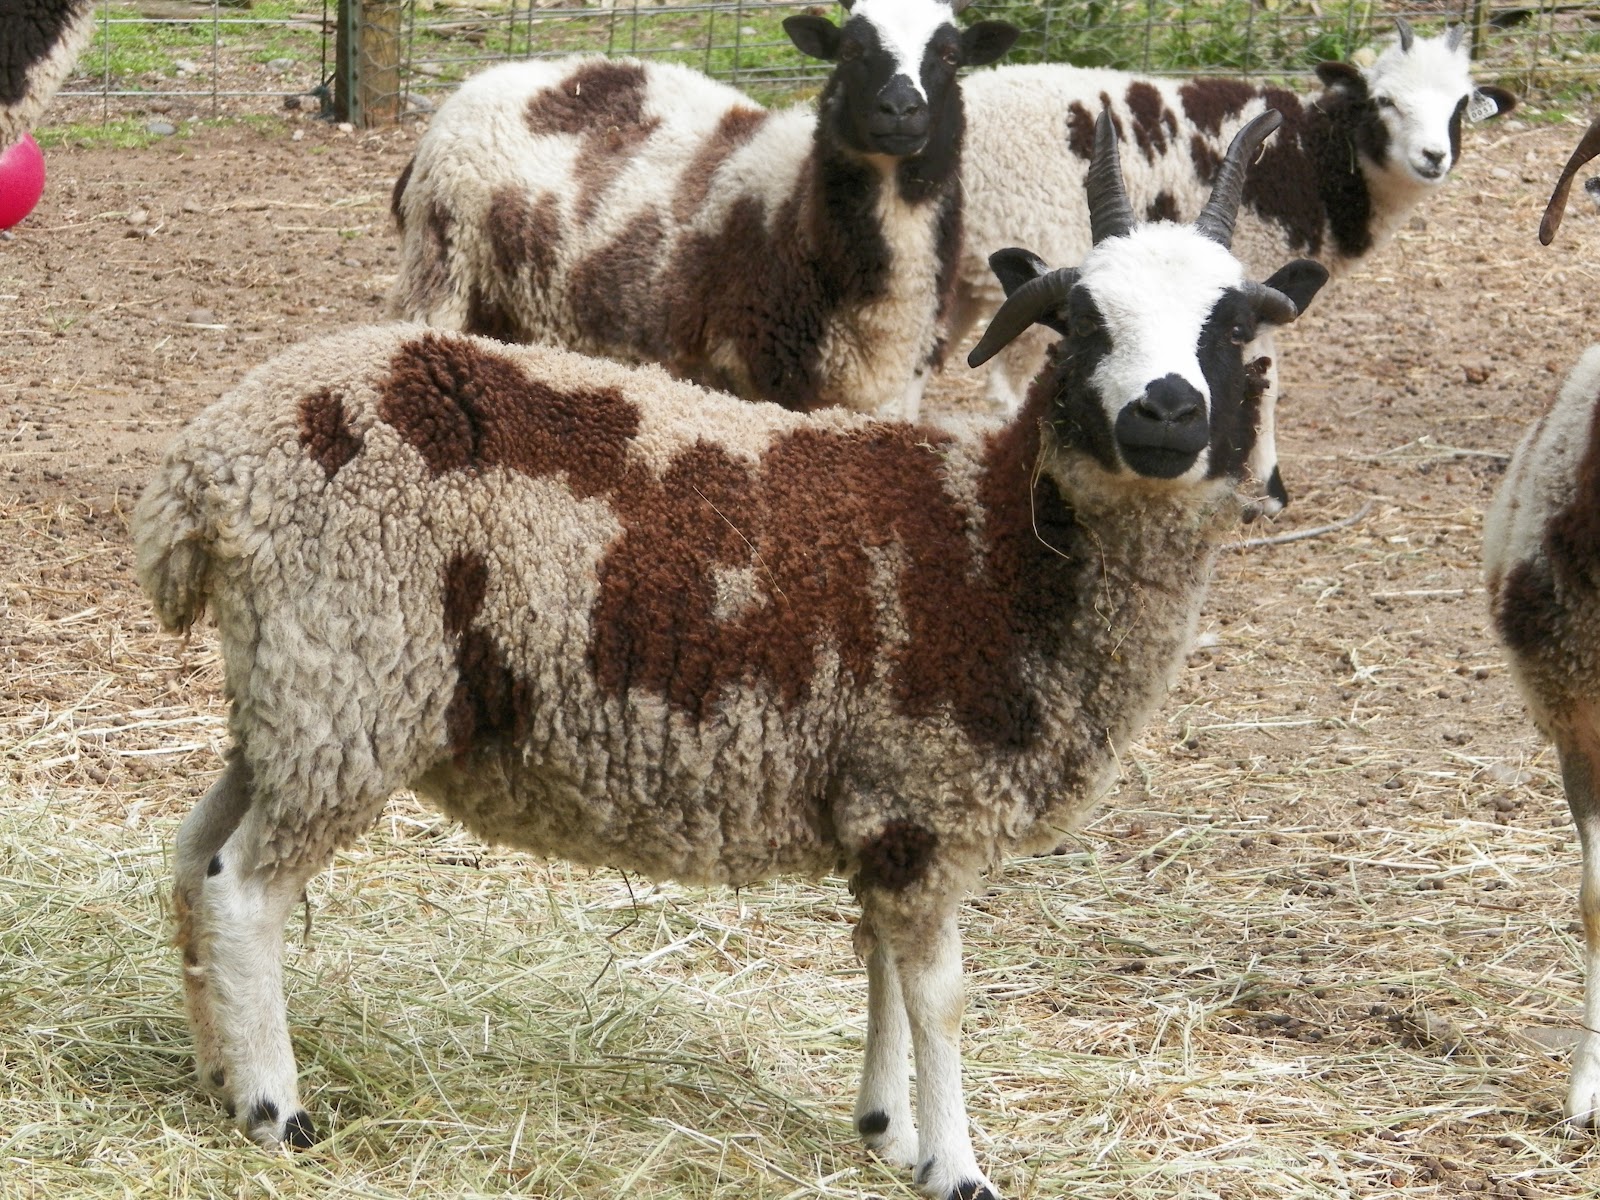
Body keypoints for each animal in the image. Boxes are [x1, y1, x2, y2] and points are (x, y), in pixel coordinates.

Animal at [134, 107, 1325, 1199]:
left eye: (1234, 331)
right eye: (1081, 321)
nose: (1164, 414)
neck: (991, 539)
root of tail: (207, 470)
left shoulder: (885, 809)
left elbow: (881, 968)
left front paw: (884, 1129)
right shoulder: (923, 799)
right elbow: (938, 997)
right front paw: (955, 1166)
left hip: (295, 687)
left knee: (195, 854)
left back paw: (213, 1072)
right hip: (353, 678)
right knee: (245, 887)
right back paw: (276, 1109)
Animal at [386, 0, 1017, 421]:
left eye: (951, 56)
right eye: (852, 50)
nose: (901, 110)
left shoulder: (892, 394)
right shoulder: (750, 380)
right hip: (440, 273)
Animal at [952, 19, 1514, 509]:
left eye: (1461, 105)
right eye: (1385, 101)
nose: (1434, 157)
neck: (1317, 156)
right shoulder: (1261, 268)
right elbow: (1264, 384)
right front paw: (1266, 492)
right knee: (1005, 390)